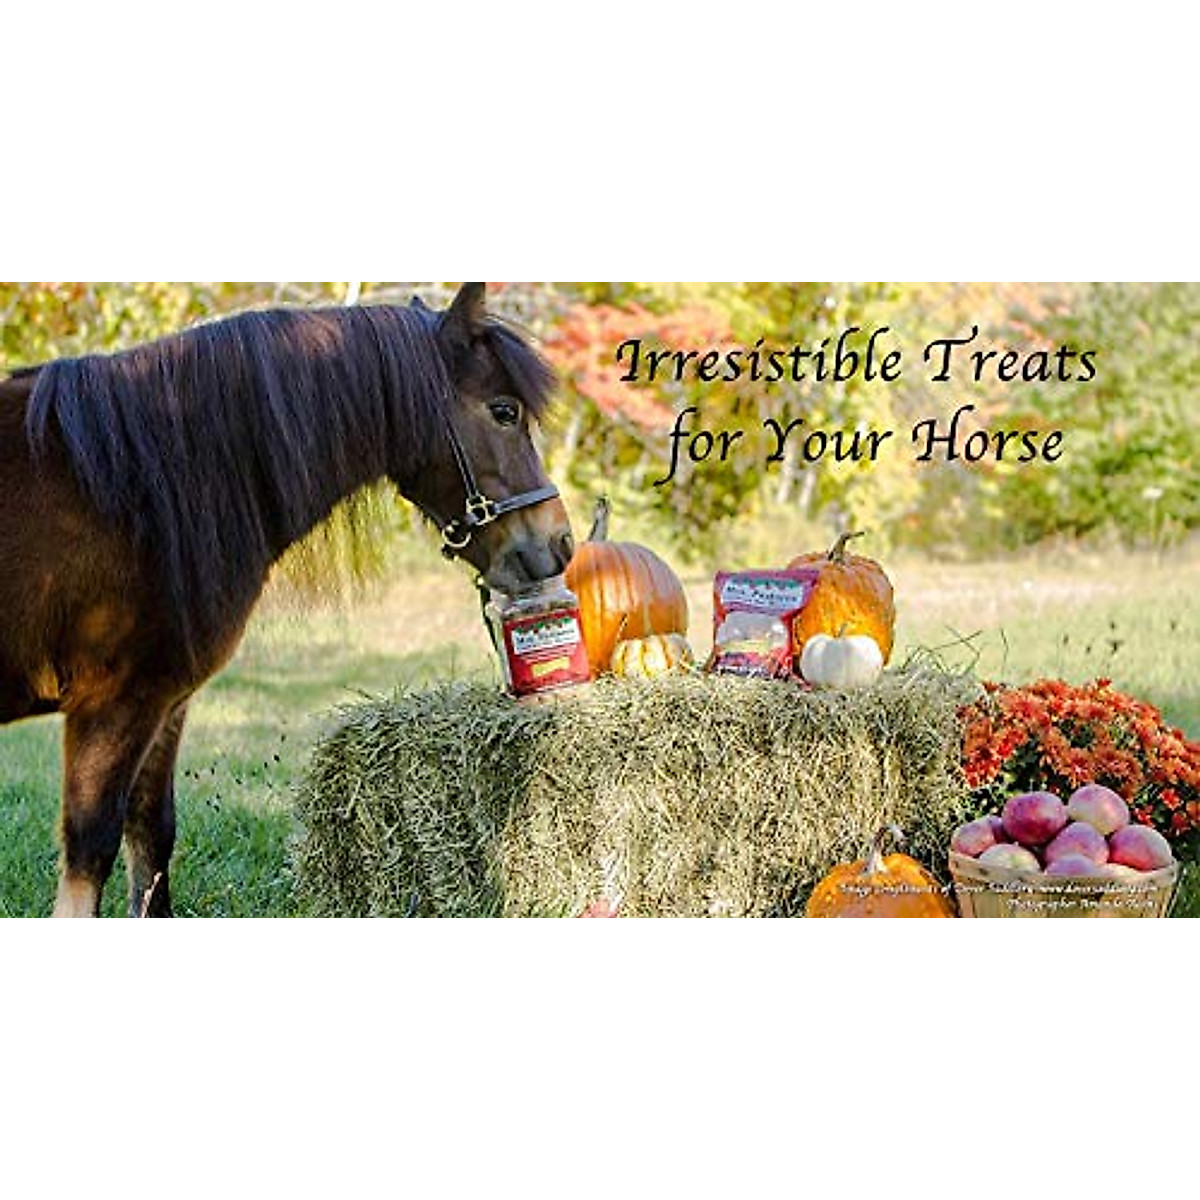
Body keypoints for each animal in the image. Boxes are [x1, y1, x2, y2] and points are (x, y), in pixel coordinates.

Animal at [0, 283, 574, 917]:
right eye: (504, 411)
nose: (559, 543)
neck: (134, 492)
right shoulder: (115, 704)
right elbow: (91, 850)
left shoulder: (164, 706)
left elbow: (151, 841)